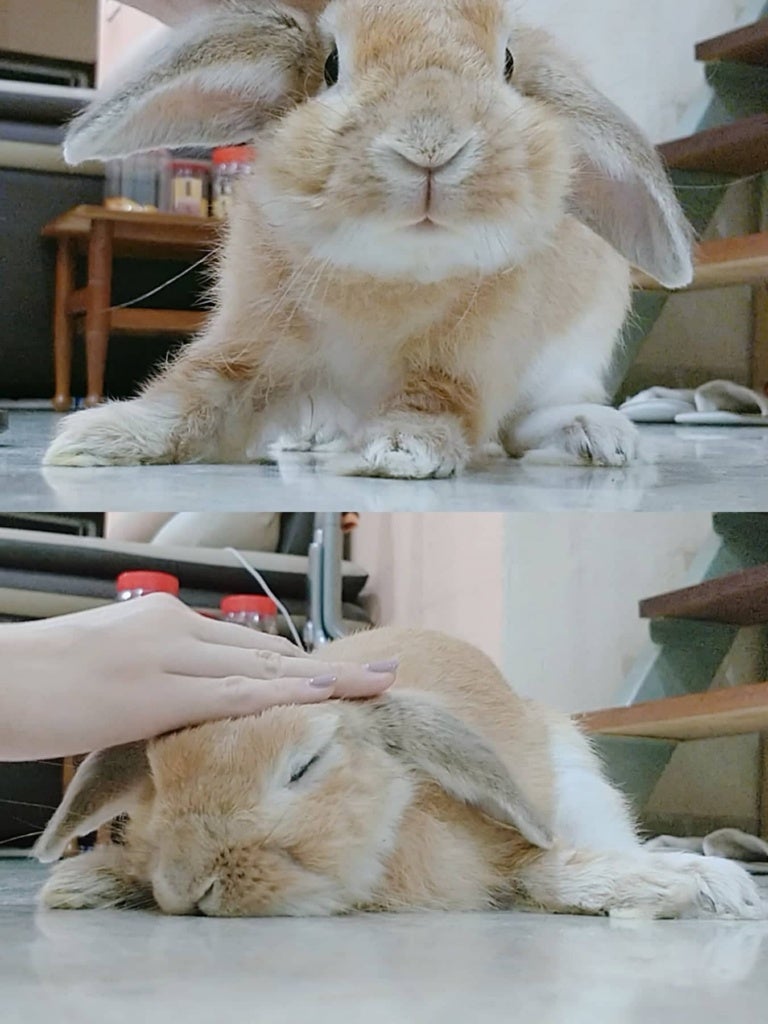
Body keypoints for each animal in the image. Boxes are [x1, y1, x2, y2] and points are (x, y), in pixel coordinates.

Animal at [35, 627, 762, 920]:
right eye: (157, 775)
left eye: (306, 766)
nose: (186, 886)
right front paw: (78, 885)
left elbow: (538, 872)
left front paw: (679, 887)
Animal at [42, 0, 692, 479]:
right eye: (332, 65)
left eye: (507, 62)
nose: (430, 145)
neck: (389, 274)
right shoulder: (251, 343)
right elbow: (196, 393)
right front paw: (97, 438)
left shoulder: (467, 361)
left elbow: (437, 401)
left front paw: (405, 450)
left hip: (574, 356)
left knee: (525, 424)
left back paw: (597, 436)